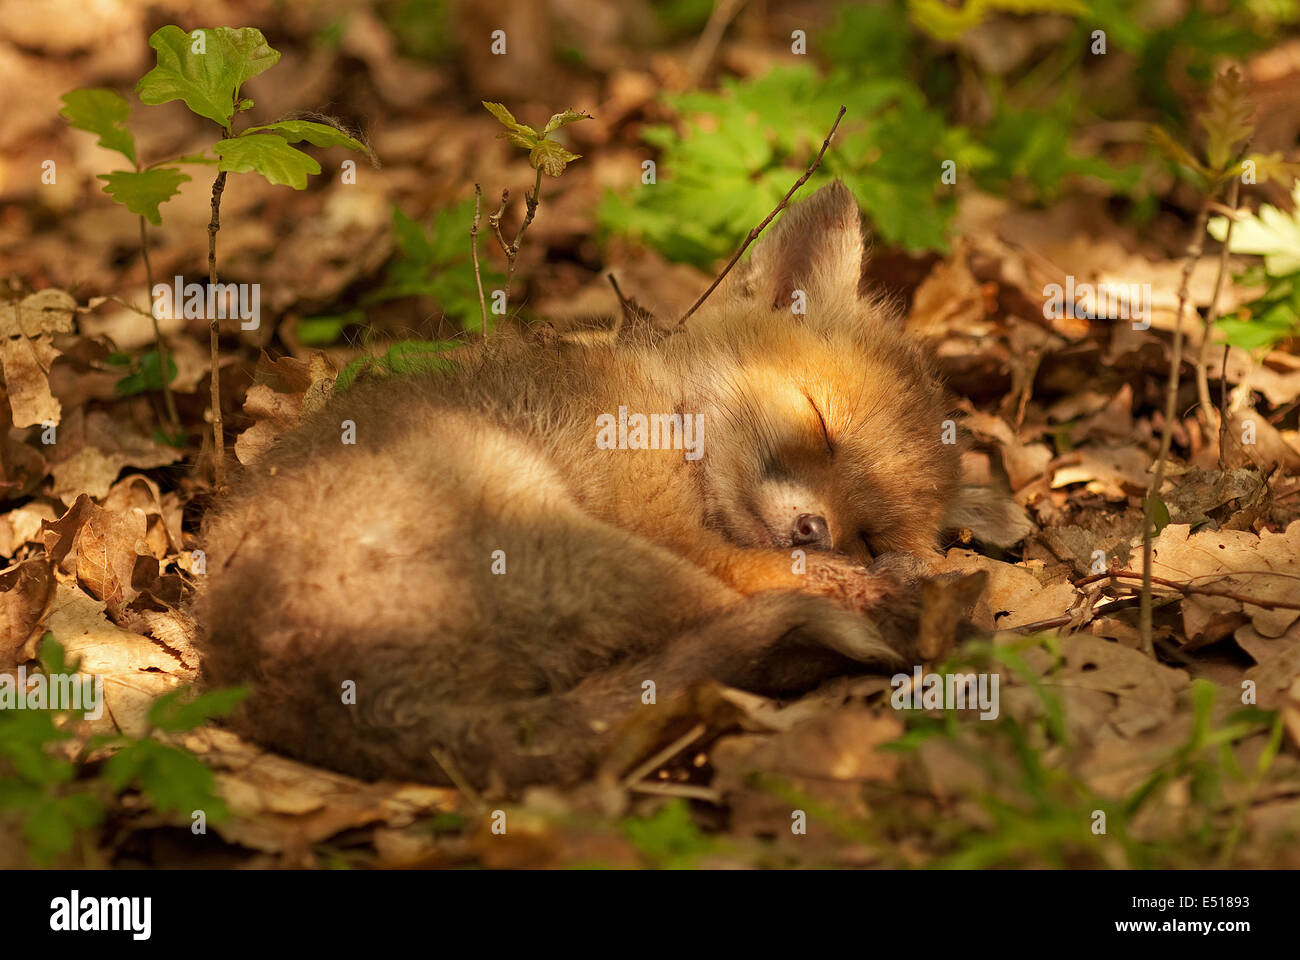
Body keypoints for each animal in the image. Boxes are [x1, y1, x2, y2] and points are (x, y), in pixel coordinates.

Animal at [197, 181, 1003, 790]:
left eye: (869, 532)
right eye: (819, 422)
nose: (817, 532)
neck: (658, 399)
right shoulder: (666, 522)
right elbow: (766, 569)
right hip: (591, 546)